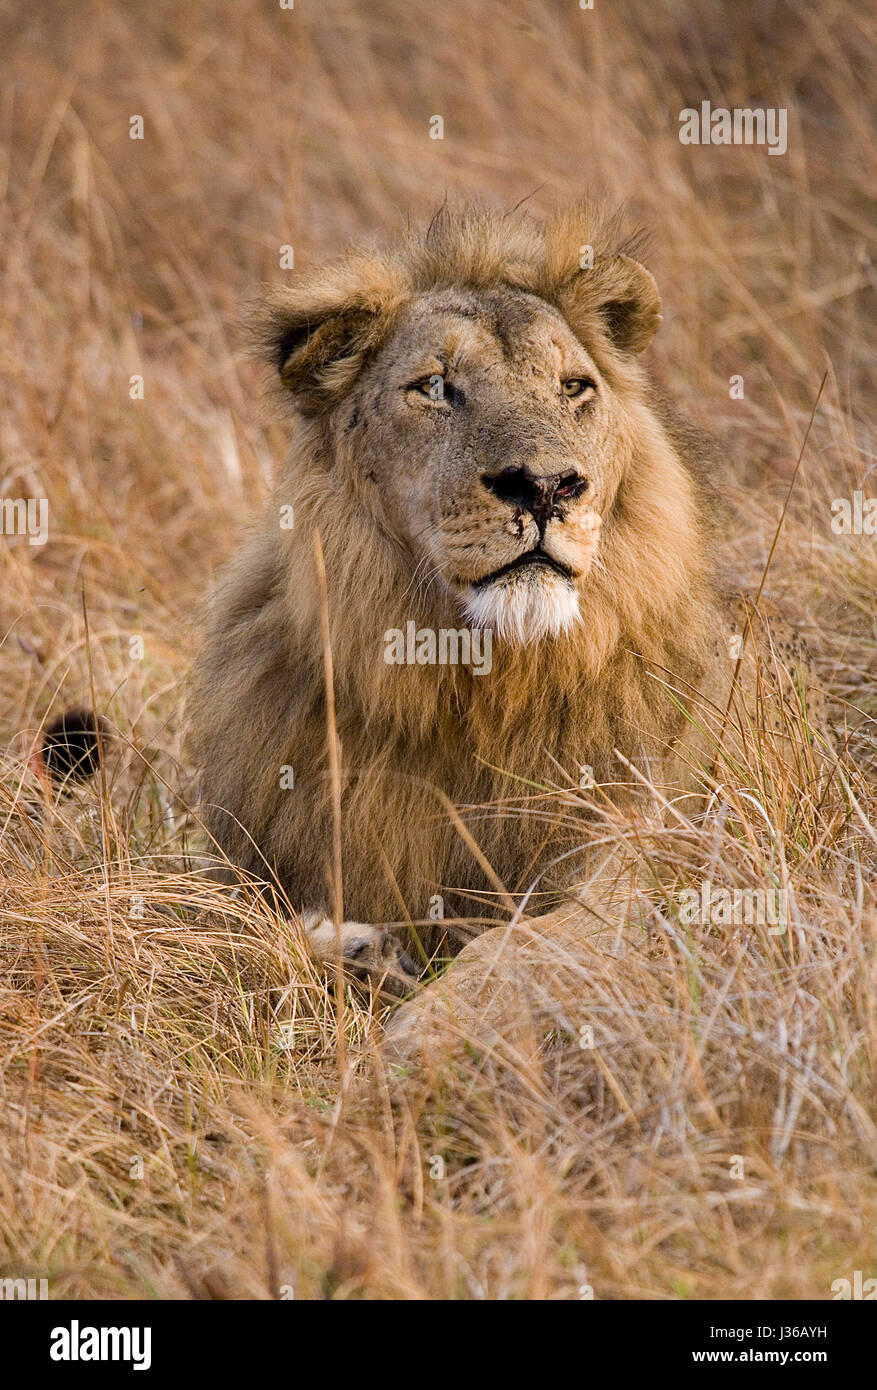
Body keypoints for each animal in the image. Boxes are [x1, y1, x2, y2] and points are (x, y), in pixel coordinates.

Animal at [187, 201, 830, 1008]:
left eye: (573, 387)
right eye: (434, 387)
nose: (547, 486)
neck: (482, 690)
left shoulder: (653, 850)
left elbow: (525, 945)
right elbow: (209, 915)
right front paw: (354, 950)